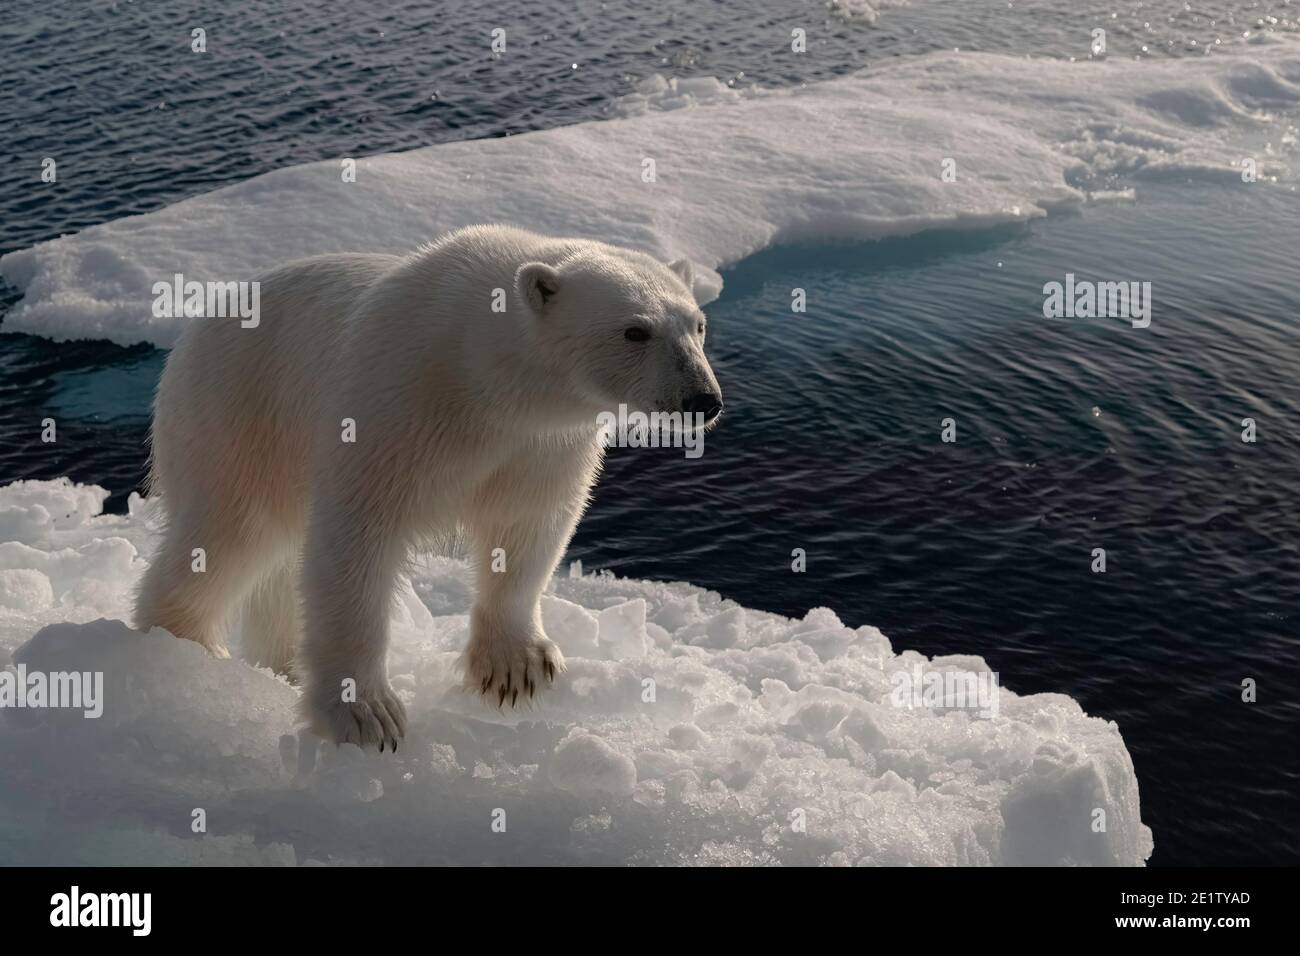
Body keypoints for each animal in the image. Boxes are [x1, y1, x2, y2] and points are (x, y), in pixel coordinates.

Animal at [134, 224, 723, 751]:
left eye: (697, 324)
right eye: (635, 330)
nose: (703, 400)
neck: (483, 377)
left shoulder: (542, 445)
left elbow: (530, 526)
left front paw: (514, 667)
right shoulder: (395, 406)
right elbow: (357, 539)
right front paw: (364, 714)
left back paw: (281, 665)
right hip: (237, 415)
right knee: (228, 534)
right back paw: (182, 651)